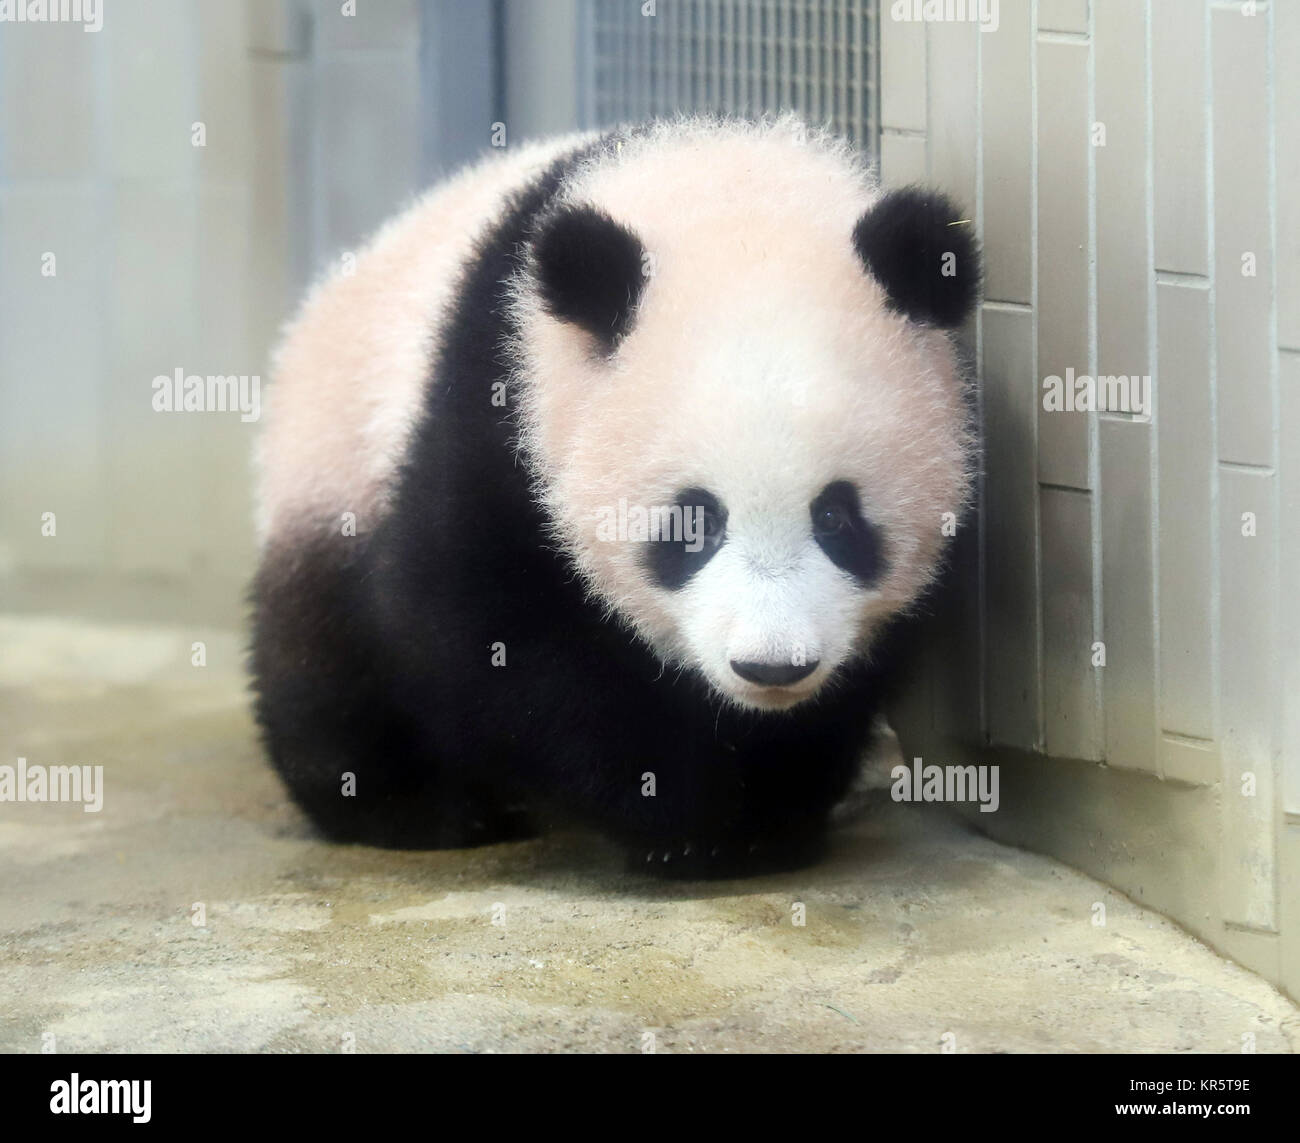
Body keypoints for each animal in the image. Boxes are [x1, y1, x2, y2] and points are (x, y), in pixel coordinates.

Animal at [250, 115, 979, 877]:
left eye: (836, 517)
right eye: (694, 522)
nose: (771, 665)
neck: (731, 195)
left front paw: (772, 807)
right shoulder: (500, 410)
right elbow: (494, 633)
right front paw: (693, 818)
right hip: (336, 465)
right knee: (324, 656)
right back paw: (409, 807)